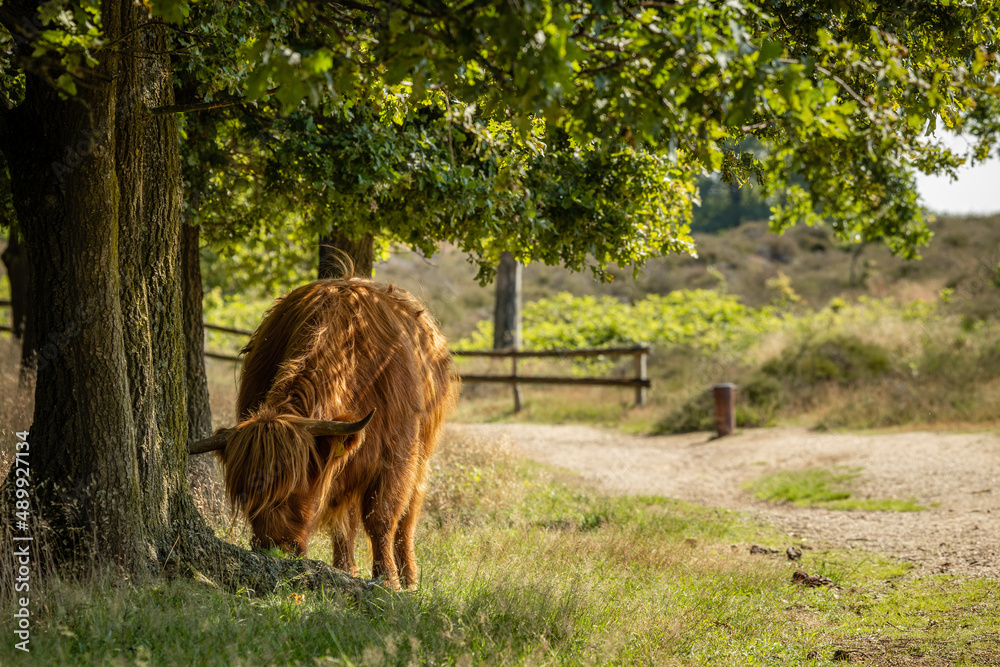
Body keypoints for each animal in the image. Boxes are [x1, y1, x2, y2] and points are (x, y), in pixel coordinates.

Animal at [189, 277, 457, 589]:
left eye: (293, 489)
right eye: (244, 495)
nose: (274, 549)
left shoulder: (396, 457)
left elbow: (381, 517)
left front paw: (388, 579)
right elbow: (346, 520)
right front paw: (355, 572)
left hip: (420, 456)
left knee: (408, 513)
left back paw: (409, 578)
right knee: (347, 518)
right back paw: (347, 569)